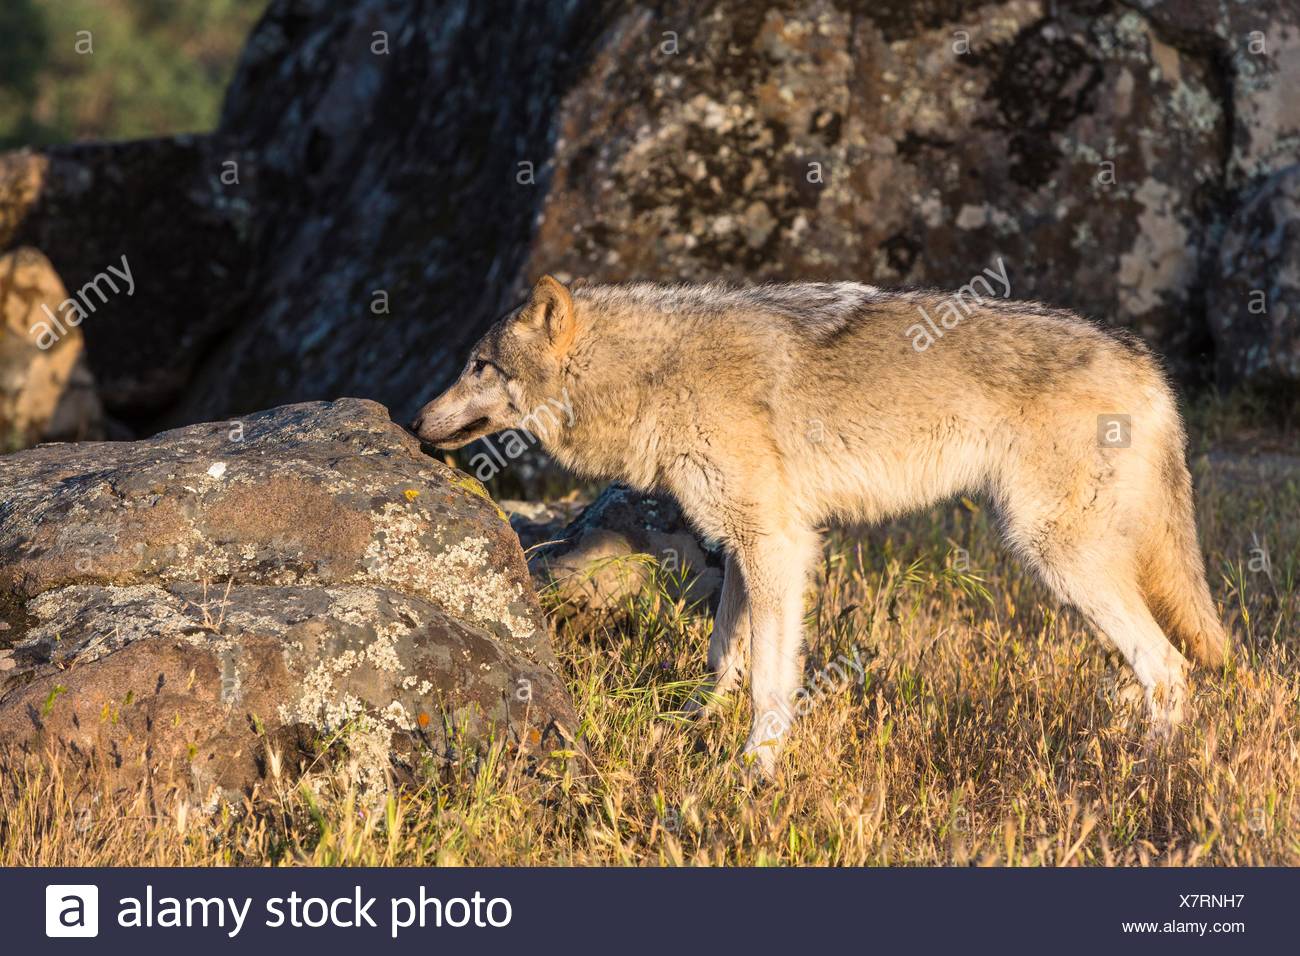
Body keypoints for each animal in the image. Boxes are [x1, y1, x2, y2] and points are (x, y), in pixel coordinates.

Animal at [412, 275, 1231, 775]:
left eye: (480, 366)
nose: (416, 422)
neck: (652, 376)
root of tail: (1146, 363)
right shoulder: (743, 545)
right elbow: (724, 657)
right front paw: (694, 729)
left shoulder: (778, 544)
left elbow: (771, 680)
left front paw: (754, 768)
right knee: (1150, 666)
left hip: (1054, 554)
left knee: (1170, 667)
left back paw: (1149, 770)